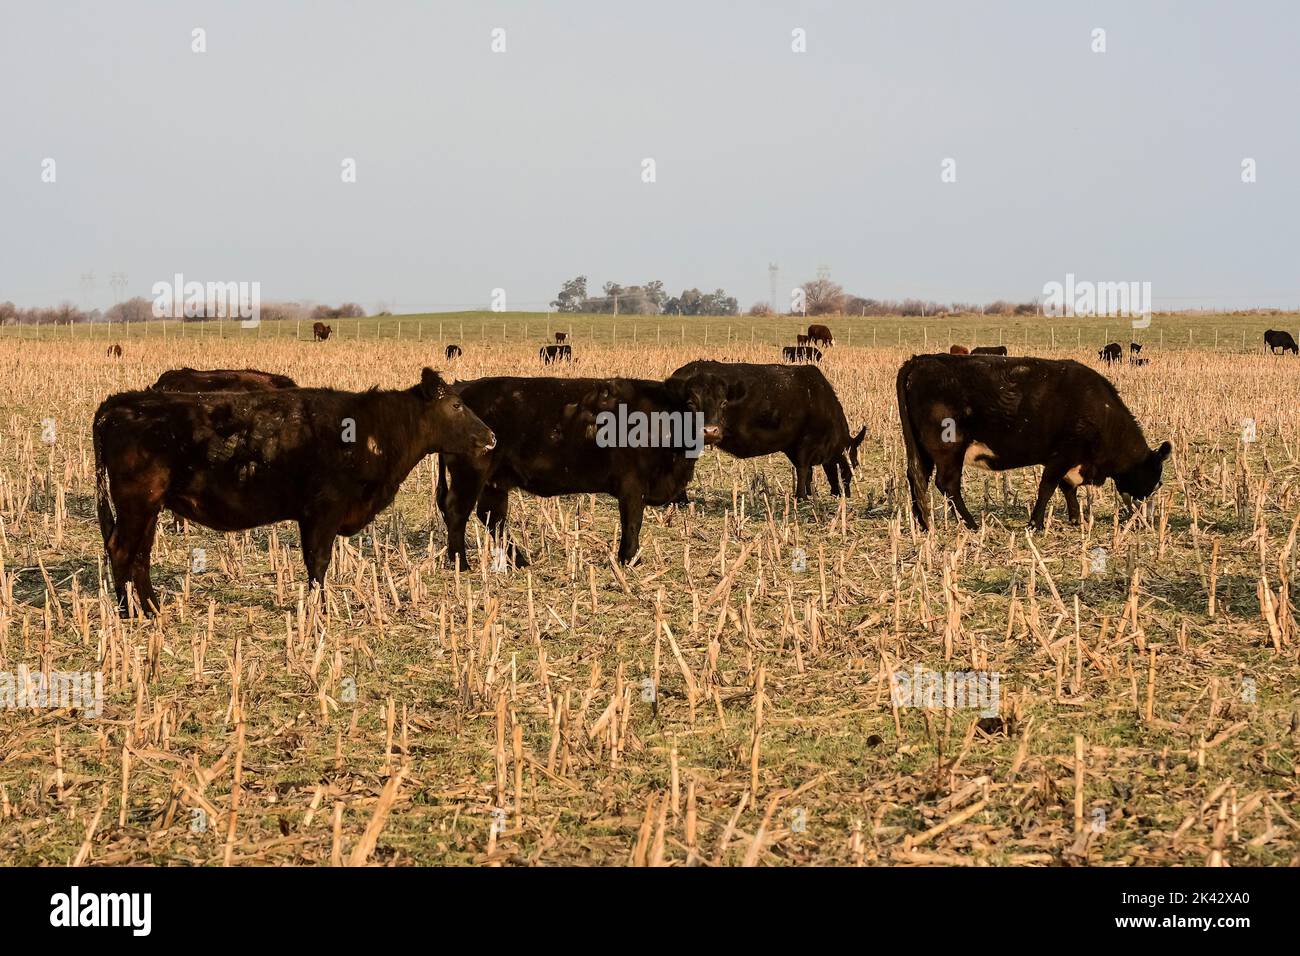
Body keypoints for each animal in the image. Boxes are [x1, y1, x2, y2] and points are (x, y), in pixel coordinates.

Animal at [93, 368, 494, 614]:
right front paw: (322, 610)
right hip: (137, 503)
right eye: (456, 405)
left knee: (139, 554)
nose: (491, 436)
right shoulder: (323, 511)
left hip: (149, 507)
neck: (372, 428)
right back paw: (128, 612)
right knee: (122, 549)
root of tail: (121, 402)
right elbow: (318, 562)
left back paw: (150, 608)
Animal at [437, 377, 720, 568]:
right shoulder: (632, 487)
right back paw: (460, 563)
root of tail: (462, 389)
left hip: (494, 482)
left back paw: (520, 561)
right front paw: (629, 560)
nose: (710, 431)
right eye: (691, 403)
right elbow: (632, 523)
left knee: (492, 517)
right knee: (458, 511)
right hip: (470, 475)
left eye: (723, 402)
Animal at [669, 361, 867, 498]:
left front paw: (809, 493)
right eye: (853, 464)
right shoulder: (806, 443)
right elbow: (804, 470)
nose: (846, 494)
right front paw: (801, 496)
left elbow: (808, 472)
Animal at [896, 354, 1170, 532]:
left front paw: (1075, 518)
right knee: (947, 484)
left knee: (917, 477)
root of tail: (920, 360)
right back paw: (971, 524)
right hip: (949, 449)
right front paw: (1035, 523)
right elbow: (1048, 487)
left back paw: (923, 523)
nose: (1145, 520)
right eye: (1156, 479)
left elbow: (1067, 488)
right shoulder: (1062, 455)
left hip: (922, 450)